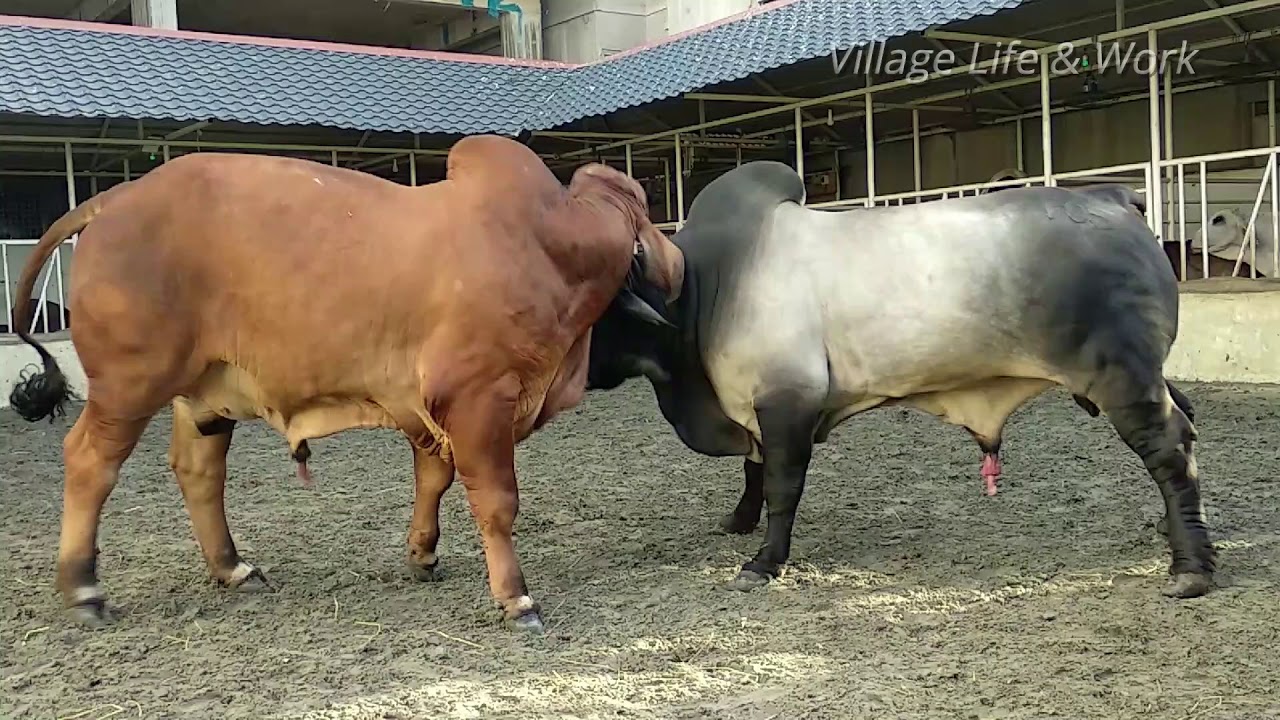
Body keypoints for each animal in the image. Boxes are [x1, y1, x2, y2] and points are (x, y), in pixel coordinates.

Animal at [5, 135, 683, 633]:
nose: (677, 265)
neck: (549, 245)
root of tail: (115, 197)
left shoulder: (426, 413)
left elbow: (433, 478)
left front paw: (422, 553)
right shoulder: (479, 399)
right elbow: (496, 501)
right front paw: (516, 598)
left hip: (203, 394)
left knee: (198, 469)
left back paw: (232, 568)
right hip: (128, 384)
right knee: (89, 463)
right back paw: (84, 588)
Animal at [586, 160, 1215, 601]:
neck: (709, 285)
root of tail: (1115, 198)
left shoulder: (789, 401)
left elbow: (782, 487)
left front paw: (763, 562)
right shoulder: (757, 407)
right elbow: (753, 472)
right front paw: (739, 521)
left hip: (1122, 376)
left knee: (1169, 449)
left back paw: (1191, 569)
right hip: (1144, 374)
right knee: (1186, 428)